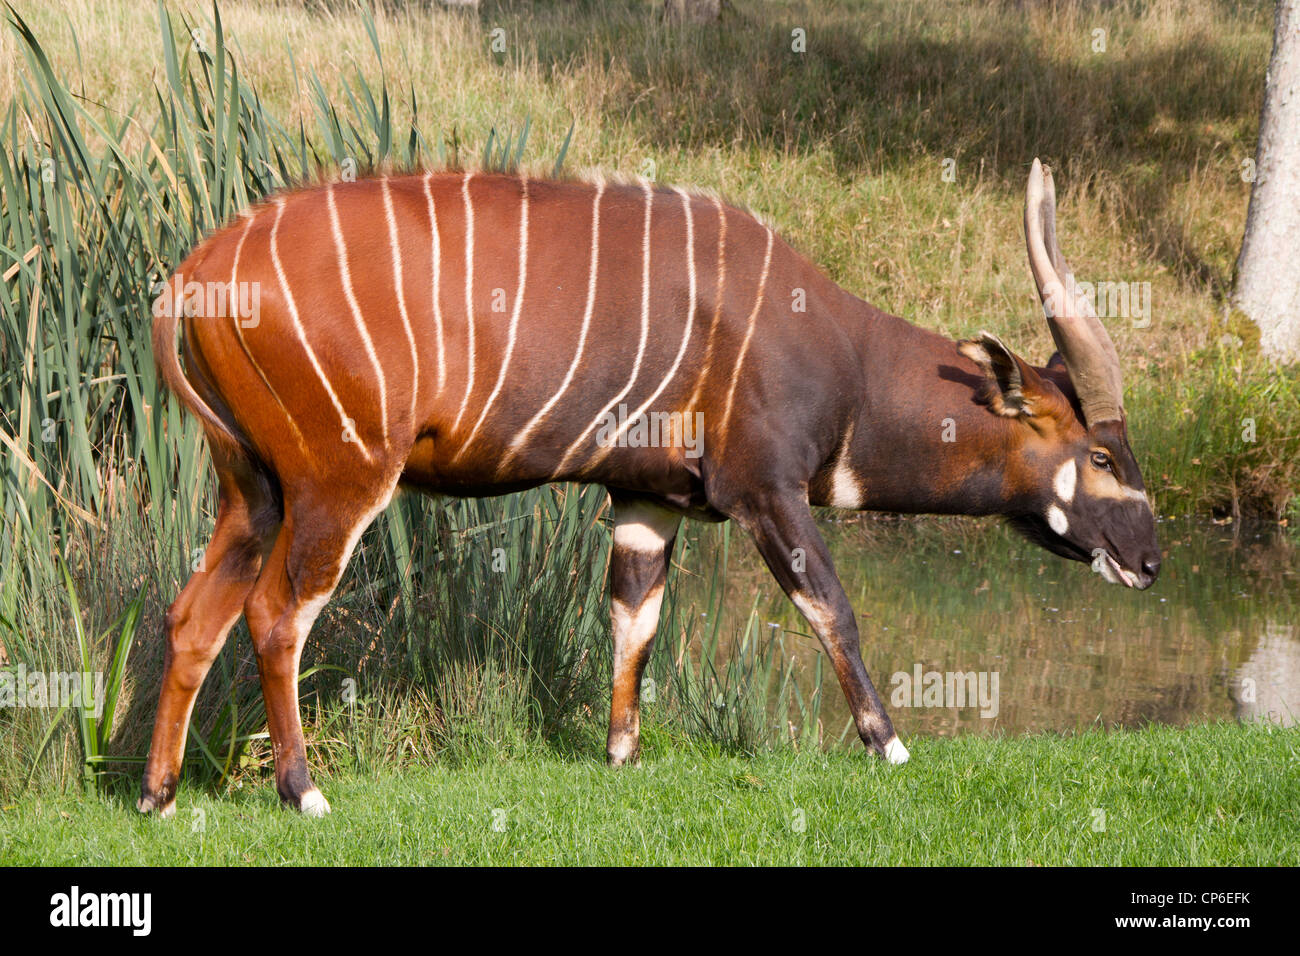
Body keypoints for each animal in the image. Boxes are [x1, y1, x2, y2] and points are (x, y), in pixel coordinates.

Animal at [140, 158, 1159, 817]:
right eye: (1103, 457)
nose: (1149, 558)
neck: (839, 353)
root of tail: (196, 268)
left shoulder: (646, 503)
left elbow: (635, 620)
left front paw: (621, 758)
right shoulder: (765, 492)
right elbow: (831, 605)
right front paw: (891, 744)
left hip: (254, 489)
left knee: (195, 613)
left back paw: (157, 795)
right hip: (340, 481)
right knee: (276, 613)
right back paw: (305, 792)